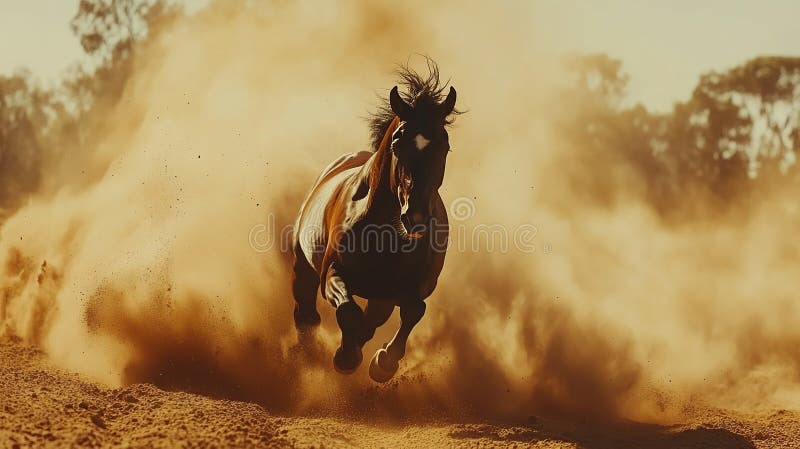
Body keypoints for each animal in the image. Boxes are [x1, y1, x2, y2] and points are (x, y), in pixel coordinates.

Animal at [291, 63, 458, 382]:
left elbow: (414, 311)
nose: (415, 217)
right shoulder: (333, 271)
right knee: (305, 309)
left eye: (444, 145)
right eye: (398, 141)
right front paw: (346, 358)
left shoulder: (410, 287)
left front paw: (383, 363)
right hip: (303, 263)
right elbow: (348, 312)